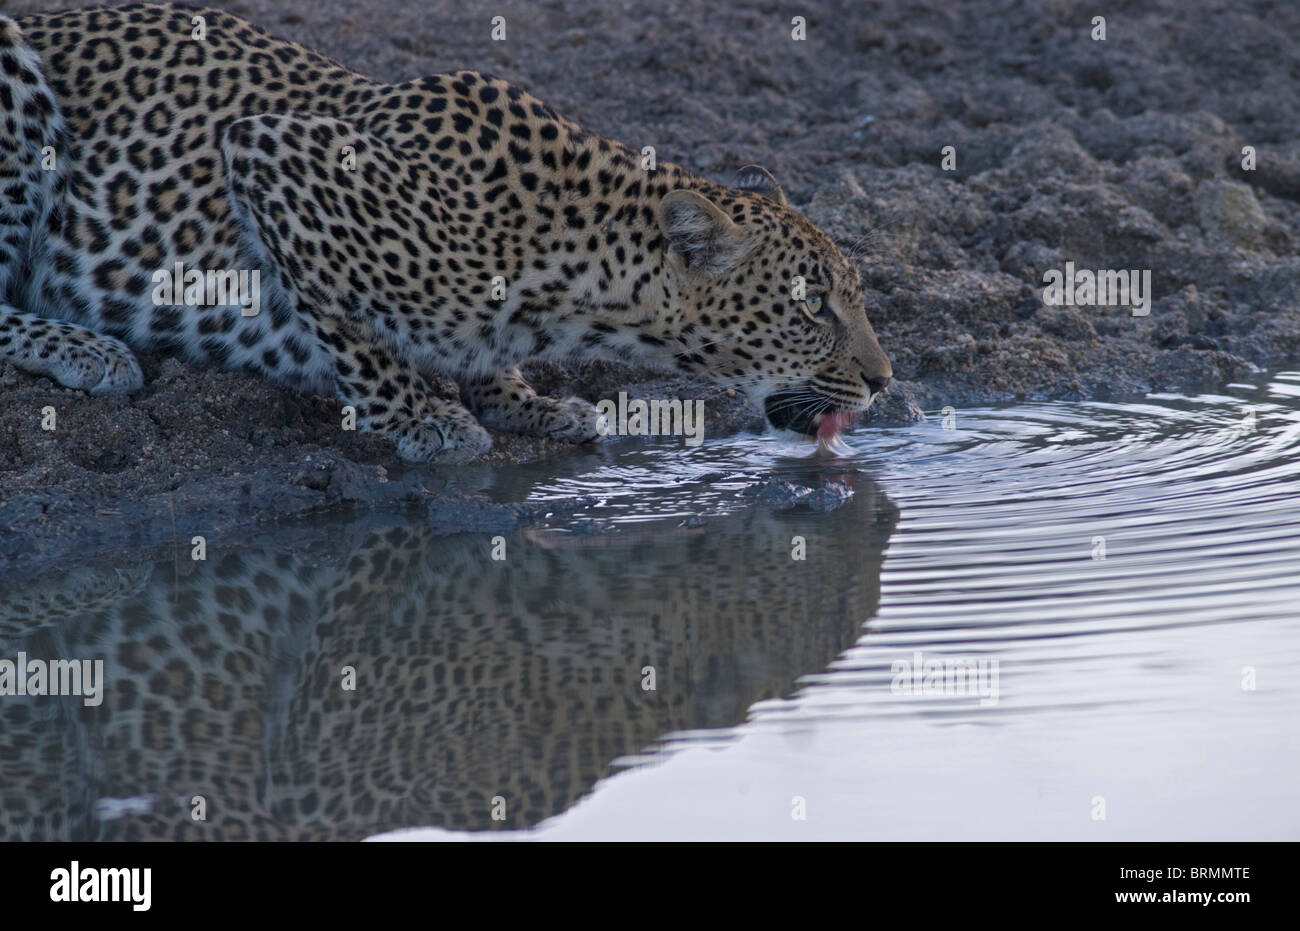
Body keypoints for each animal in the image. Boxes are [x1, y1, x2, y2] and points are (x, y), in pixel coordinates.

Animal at [0, 2, 893, 463]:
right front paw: (420, 417)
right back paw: (87, 349)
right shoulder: (272, 154)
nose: (885, 382)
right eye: (811, 305)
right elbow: (352, 331)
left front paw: (520, 400)